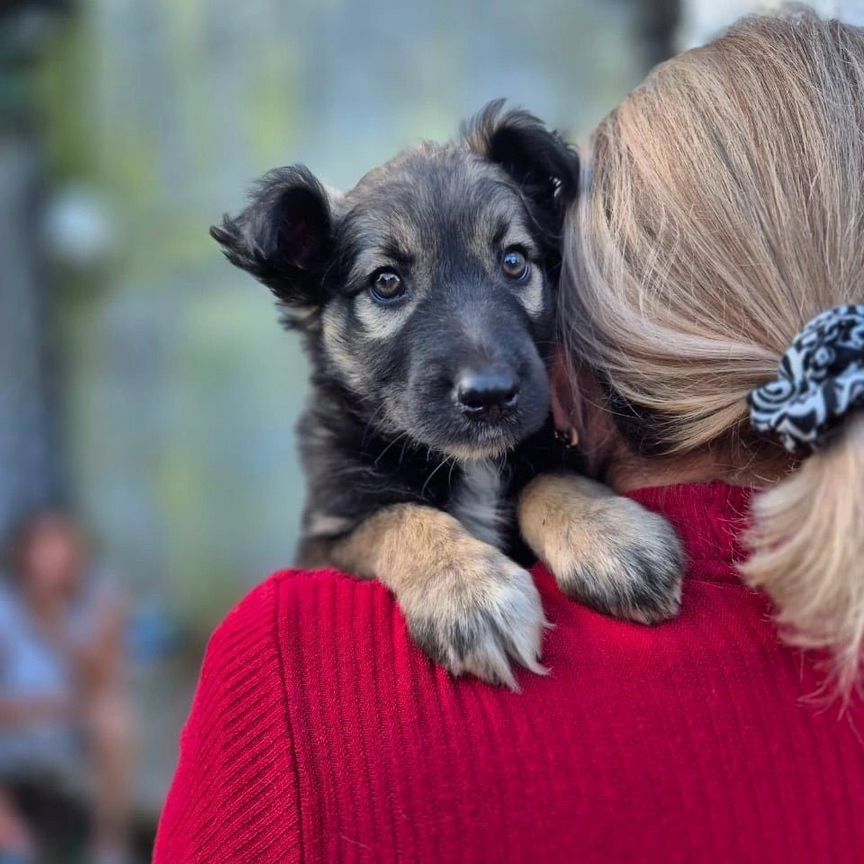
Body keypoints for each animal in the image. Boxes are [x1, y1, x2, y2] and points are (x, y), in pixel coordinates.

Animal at [211, 103, 680, 688]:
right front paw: (467, 590)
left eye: (513, 261)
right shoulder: (326, 535)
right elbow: (396, 516)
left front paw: (611, 534)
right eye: (386, 282)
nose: (491, 396)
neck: (468, 463)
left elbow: (545, 479)